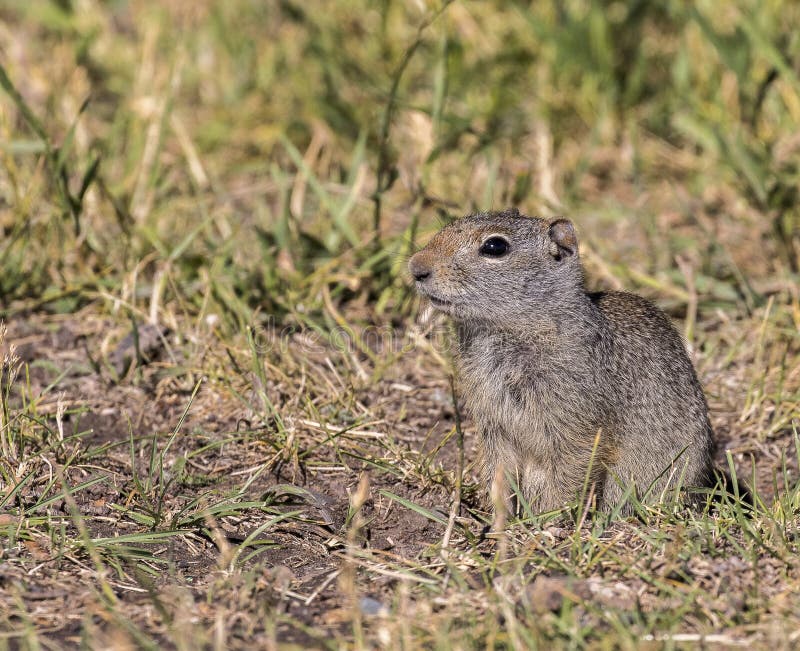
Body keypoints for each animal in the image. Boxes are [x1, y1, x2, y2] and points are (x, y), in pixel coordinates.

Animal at [409, 208, 725, 515]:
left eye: (495, 246)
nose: (415, 267)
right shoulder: (493, 425)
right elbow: (499, 471)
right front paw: (501, 514)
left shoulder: (579, 426)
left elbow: (569, 473)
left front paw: (548, 519)